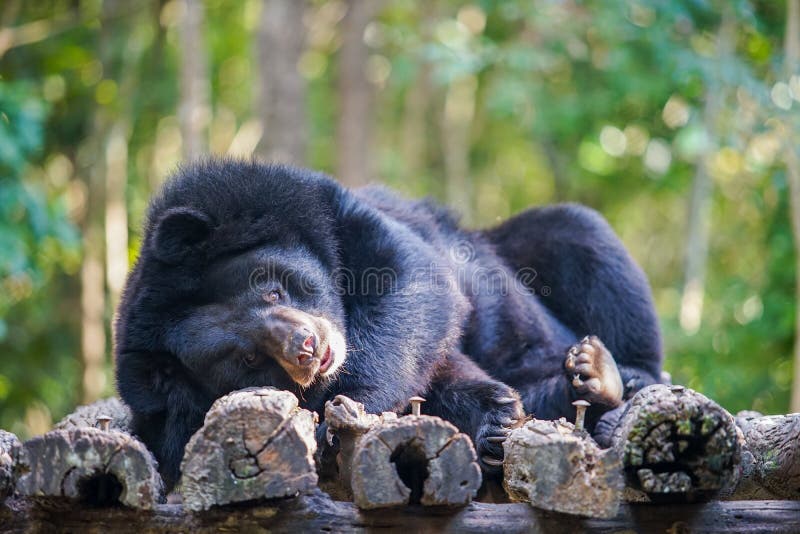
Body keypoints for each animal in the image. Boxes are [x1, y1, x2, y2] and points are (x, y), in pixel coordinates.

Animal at [115, 159, 663, 490]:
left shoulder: (328, 209)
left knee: (579, 233)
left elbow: (408, 278)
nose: (307, 347)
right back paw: (585, 380)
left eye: (272, 290)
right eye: (248, 358)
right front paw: (495, 421)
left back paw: (614, 371)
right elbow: (440, 372)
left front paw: (345, 414)